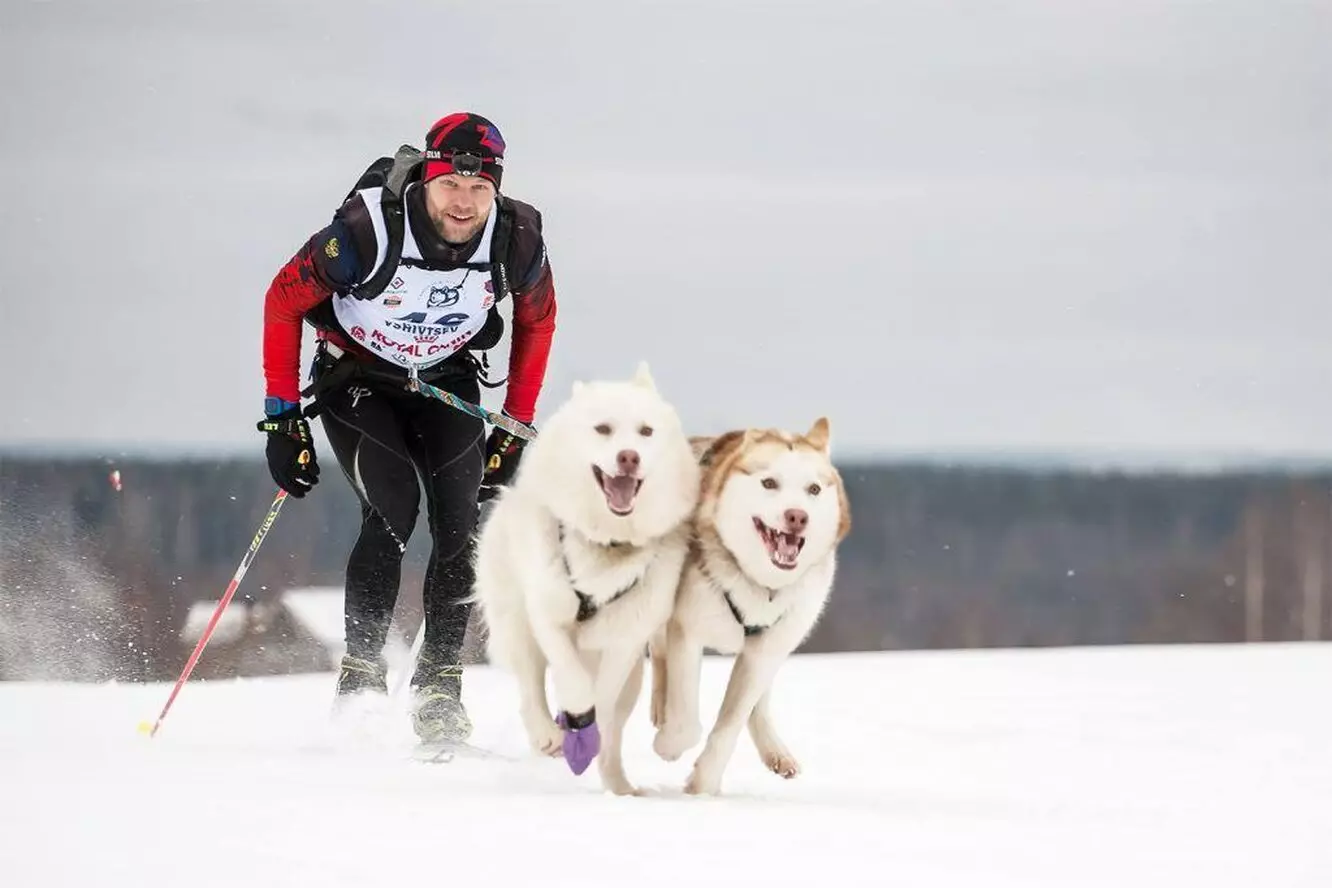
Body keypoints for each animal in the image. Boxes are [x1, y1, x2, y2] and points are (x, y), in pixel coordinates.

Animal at [468, 364, 697, 793]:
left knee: (612, 729)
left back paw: (620, 786)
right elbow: (571, 680)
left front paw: (588, 731)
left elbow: (603, 697)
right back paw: (548, 735)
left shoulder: (626, 637)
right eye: (603, 429)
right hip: (516, 623)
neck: (606, 541)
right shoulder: (548, 614)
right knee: (530, 688)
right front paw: (570, 720)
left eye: (646, 431)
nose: (629, 457)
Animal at [647, 420, 852, 793]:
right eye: (769, 483)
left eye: (813, 489)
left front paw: (703, 785)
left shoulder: (763, 651)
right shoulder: (687, 630)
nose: (797, 516)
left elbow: (730, 726)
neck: (759, 585)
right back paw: (660, 706)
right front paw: (669, 746)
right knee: (658, 653)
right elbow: (686, 721)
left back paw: (776, 752)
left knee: (759, 703)